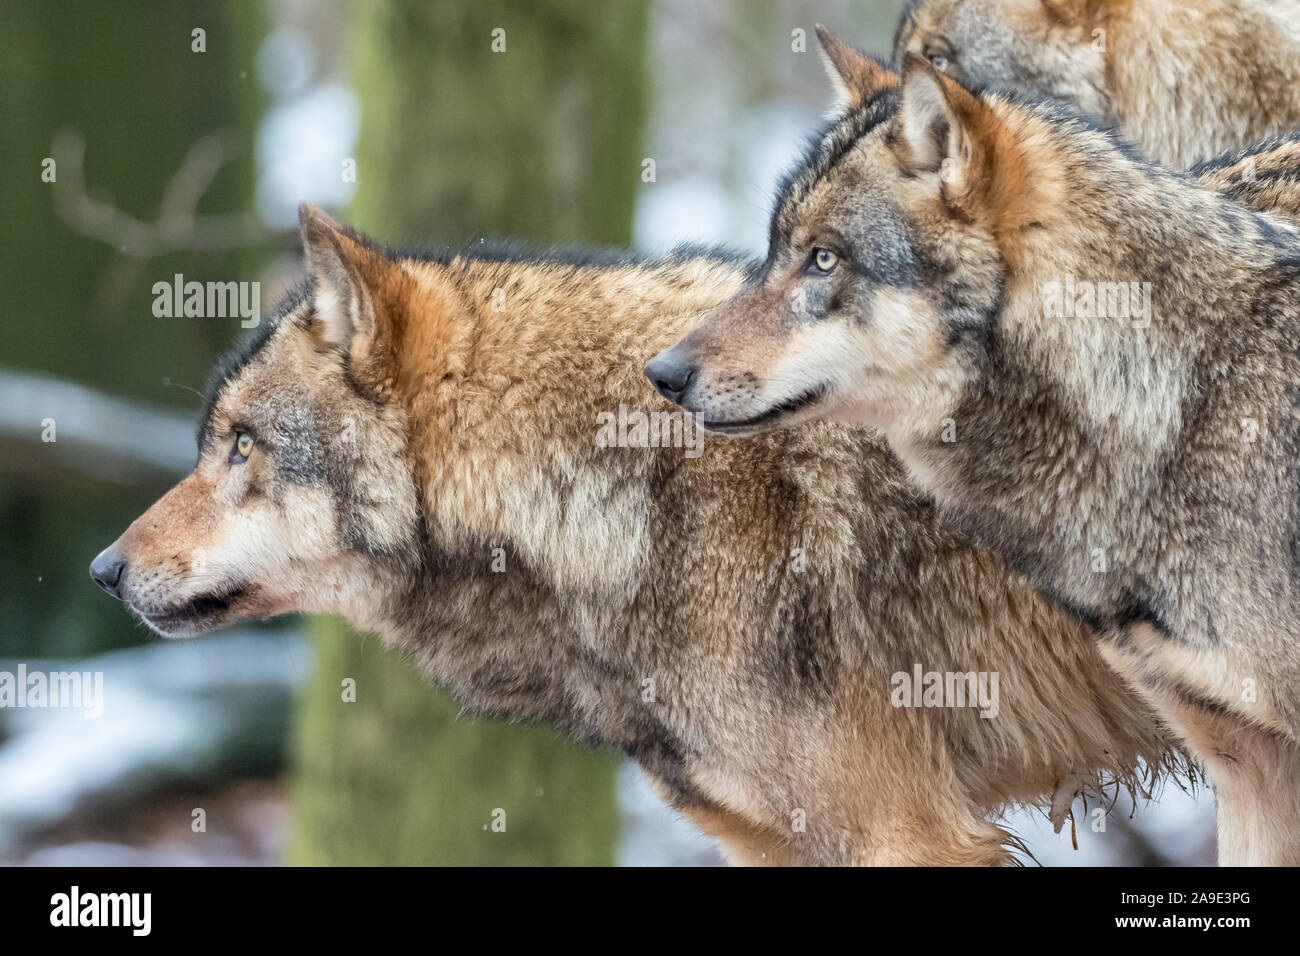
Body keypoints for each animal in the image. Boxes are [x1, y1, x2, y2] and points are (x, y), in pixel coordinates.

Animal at [87, 204, 1185, 866]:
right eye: (211, 443)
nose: (102, 569)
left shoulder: (909, 833)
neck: (628, 494)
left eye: (241, 447)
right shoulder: (768, 841)